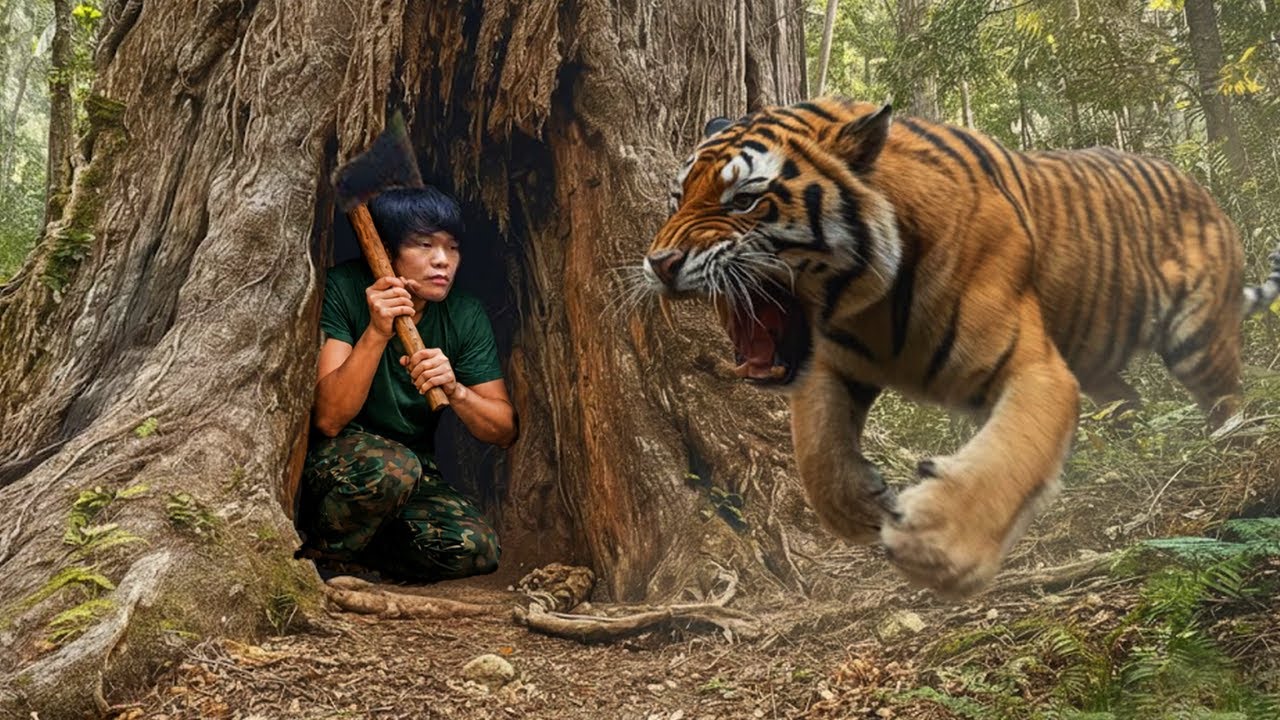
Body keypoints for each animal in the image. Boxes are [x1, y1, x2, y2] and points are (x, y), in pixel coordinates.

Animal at [642, 96, 1280, 597]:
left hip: (1196, 337)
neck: (868, 299)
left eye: (745, 200)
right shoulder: (828, 364)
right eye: (677, 198)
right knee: (1129, 404)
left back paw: (1231, 443)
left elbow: (1011, 454)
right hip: (1101, 363)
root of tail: (1201, 186)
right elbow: (816, 460)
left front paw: (939, 540)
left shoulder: (1036, 368)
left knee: (1226, 394)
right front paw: (863, 503)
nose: (660, 263)